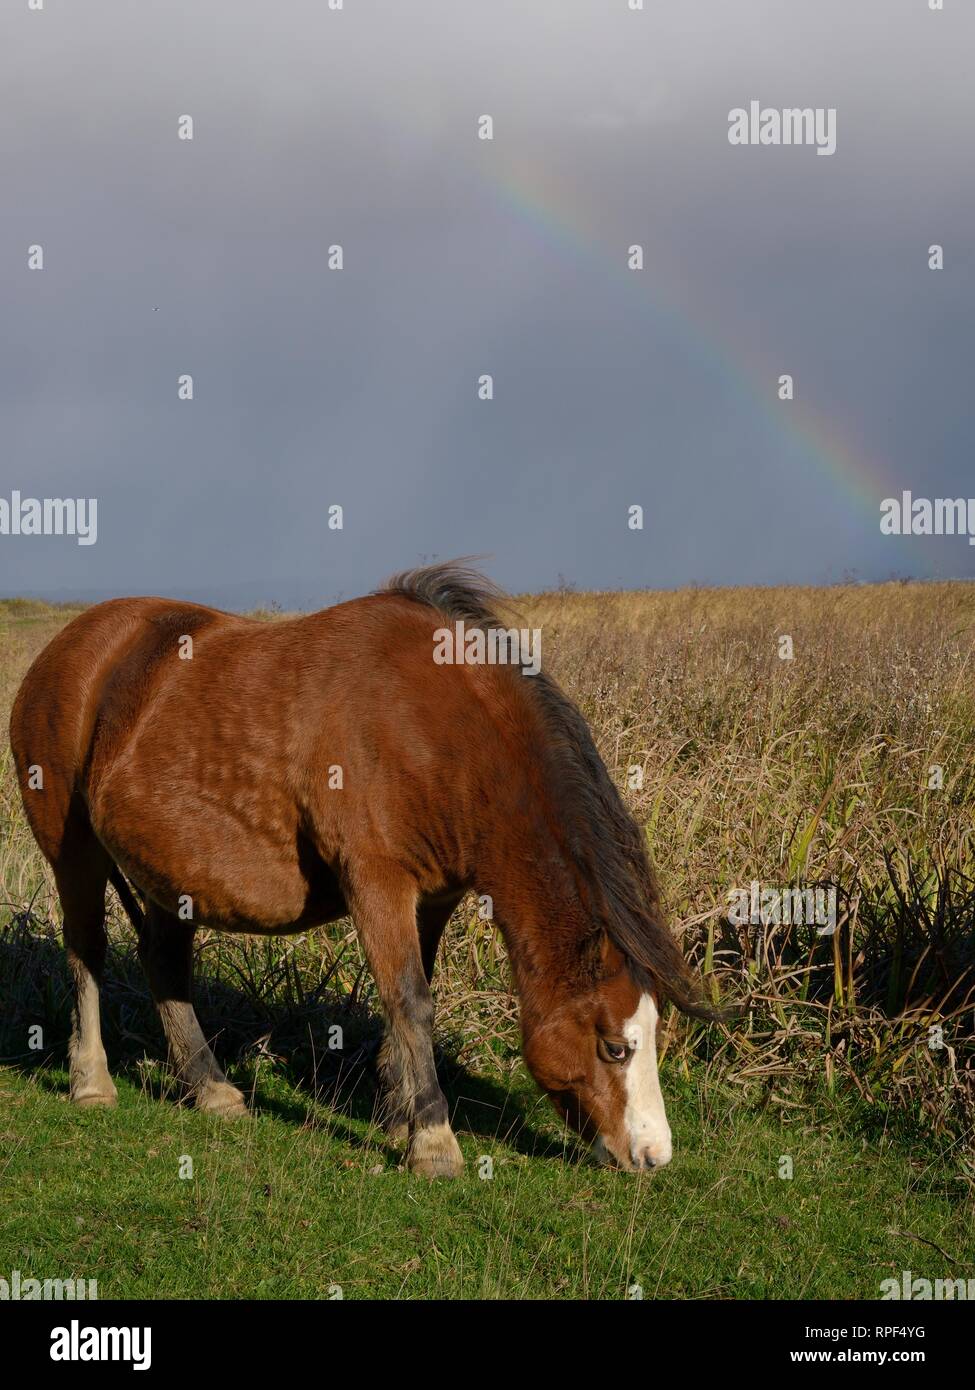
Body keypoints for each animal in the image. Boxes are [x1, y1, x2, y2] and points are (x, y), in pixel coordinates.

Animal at [9, 562, 713, 1176]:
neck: (434, 729)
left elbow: (409, 995)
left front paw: (400, 1117)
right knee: (87, 950)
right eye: (615, 1046)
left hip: (169, 875)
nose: (654, 1156)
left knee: (164, 966)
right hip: (73, 854)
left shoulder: (433, 898)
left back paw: (210, 1089)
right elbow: (410, 999)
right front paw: (433, 1142)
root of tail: (65, 652)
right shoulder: (375, 881)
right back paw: (92, 1081)